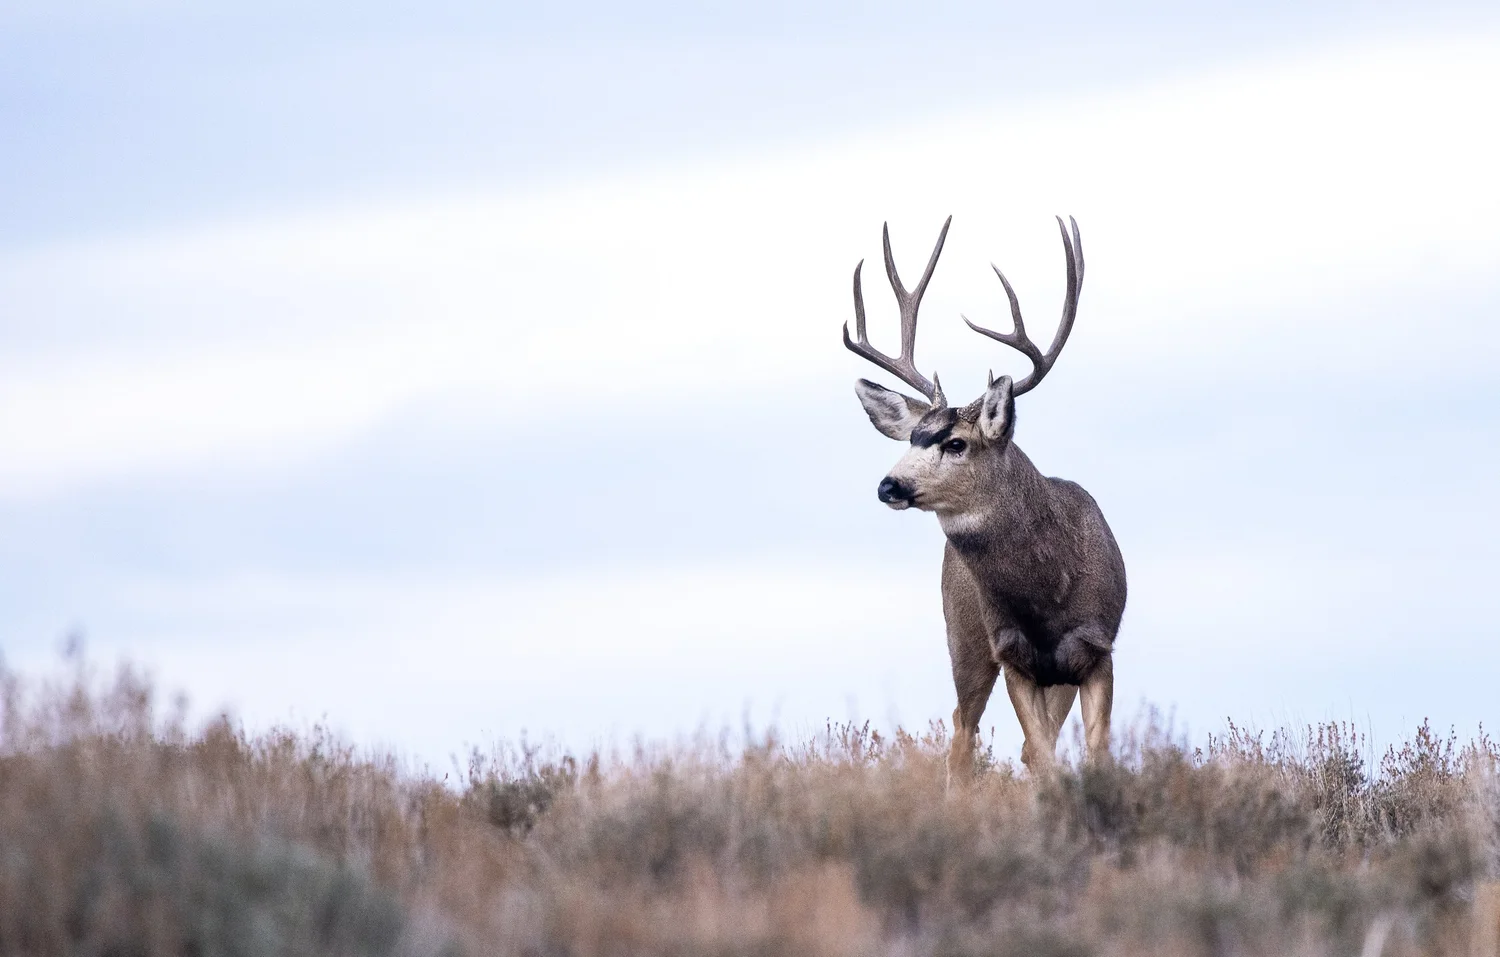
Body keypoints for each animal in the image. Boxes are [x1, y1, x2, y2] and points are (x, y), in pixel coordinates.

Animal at [843, 215, 1126, 781]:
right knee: (961, 731)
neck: (1048, 593)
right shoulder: (1011, 652)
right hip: (964, 640)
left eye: (956, 443)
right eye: (912, 437)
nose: (889, 485)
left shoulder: (1097, 648)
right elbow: (1041, 755)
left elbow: (1090, 752)